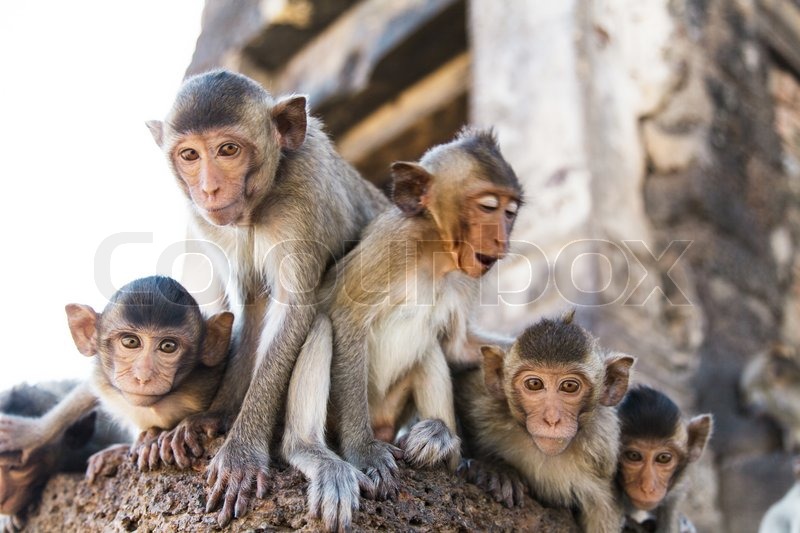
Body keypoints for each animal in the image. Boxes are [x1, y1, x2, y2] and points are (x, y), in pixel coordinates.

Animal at [0, 276, 233, 483]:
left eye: (168, 346)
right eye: (131, 342)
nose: (143, 376)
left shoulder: (203, 382)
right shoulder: (102, 377)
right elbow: (87, 390)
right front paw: (31, 434)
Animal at [147, 69, 390, 526]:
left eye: (228, 150)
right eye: (189, 155)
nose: (208, 189)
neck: (259, 203)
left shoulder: (305, 193)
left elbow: (294, 308)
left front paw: (241, 453)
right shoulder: (207, 223)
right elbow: (252, 307)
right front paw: (214, 415)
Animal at [453, 311, 635, 533]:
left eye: (569, 386)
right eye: (534, 384)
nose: (552, 419)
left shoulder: (601, 454)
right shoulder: (483, 399)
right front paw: (496, 470)